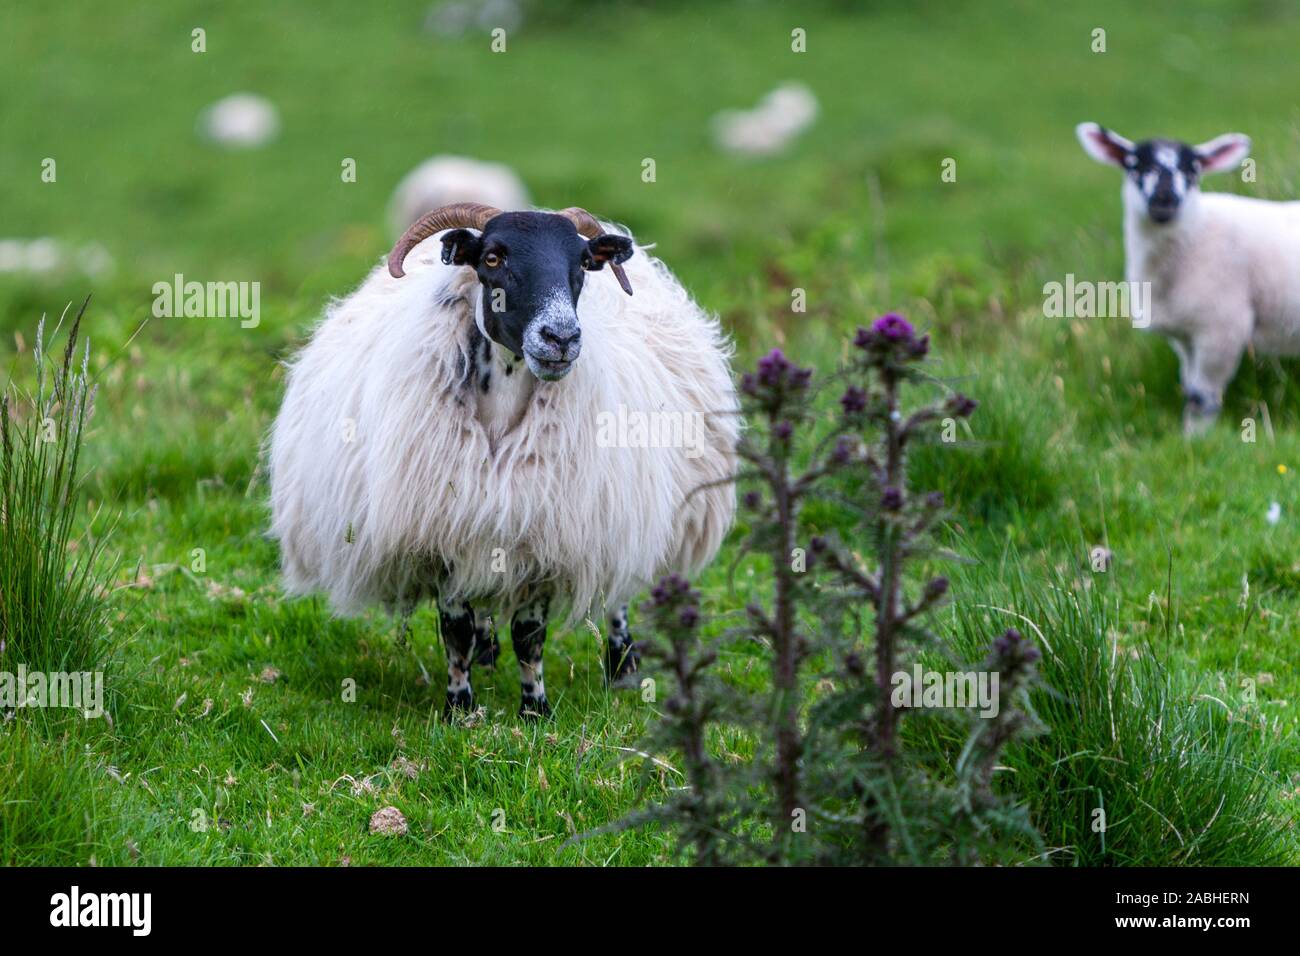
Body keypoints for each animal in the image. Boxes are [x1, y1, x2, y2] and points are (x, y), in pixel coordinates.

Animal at [269, 203, 738, 719]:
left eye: (582, 263)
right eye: (492, 258)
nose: (561, 338)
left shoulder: (544, 540)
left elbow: (530, 636)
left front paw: (535, 711)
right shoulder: (446, 532)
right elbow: (455, 633)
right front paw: (459, 708)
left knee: (617, 595)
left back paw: (623, 668)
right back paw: (488, 652)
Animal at [1076, 122, 1300, 434]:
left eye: (1193, 169)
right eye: (1134, 164)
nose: (1164, 199)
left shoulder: (1222, 328)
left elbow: (1201, 398)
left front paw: (1198, 439)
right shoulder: (1185, 338)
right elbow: (1189, 387)